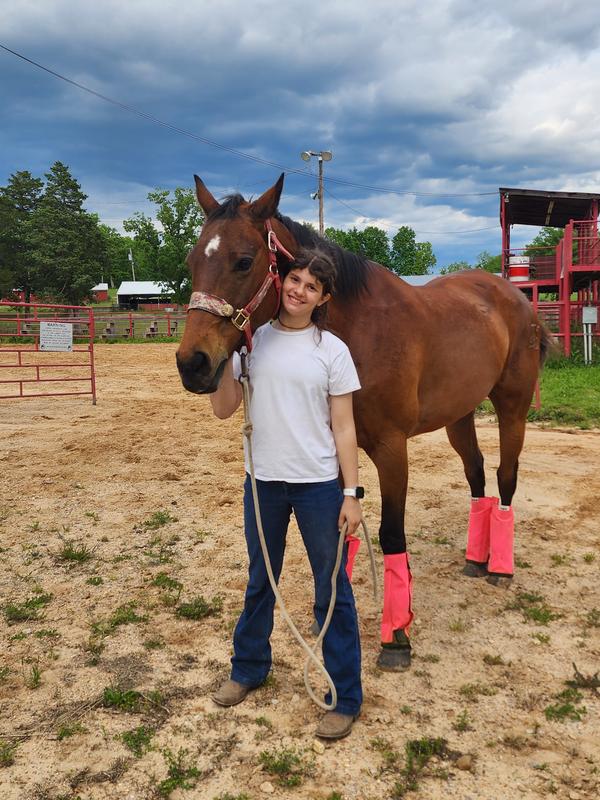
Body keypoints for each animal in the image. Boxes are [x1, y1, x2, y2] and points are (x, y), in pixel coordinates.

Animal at [176, 173, 551, 671]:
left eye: (243, 260)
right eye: (192, 259)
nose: (193, 364)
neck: (356, 332)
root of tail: (514, 297)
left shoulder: (392, 449)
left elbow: (391, 535)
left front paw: (397, 637)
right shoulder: (338, 448)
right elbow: (337, 533)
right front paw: (334, 612)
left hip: (511, 408)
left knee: (506, 476)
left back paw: (500, 568)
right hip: (460, 415)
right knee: (475, 474)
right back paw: (476, 558)